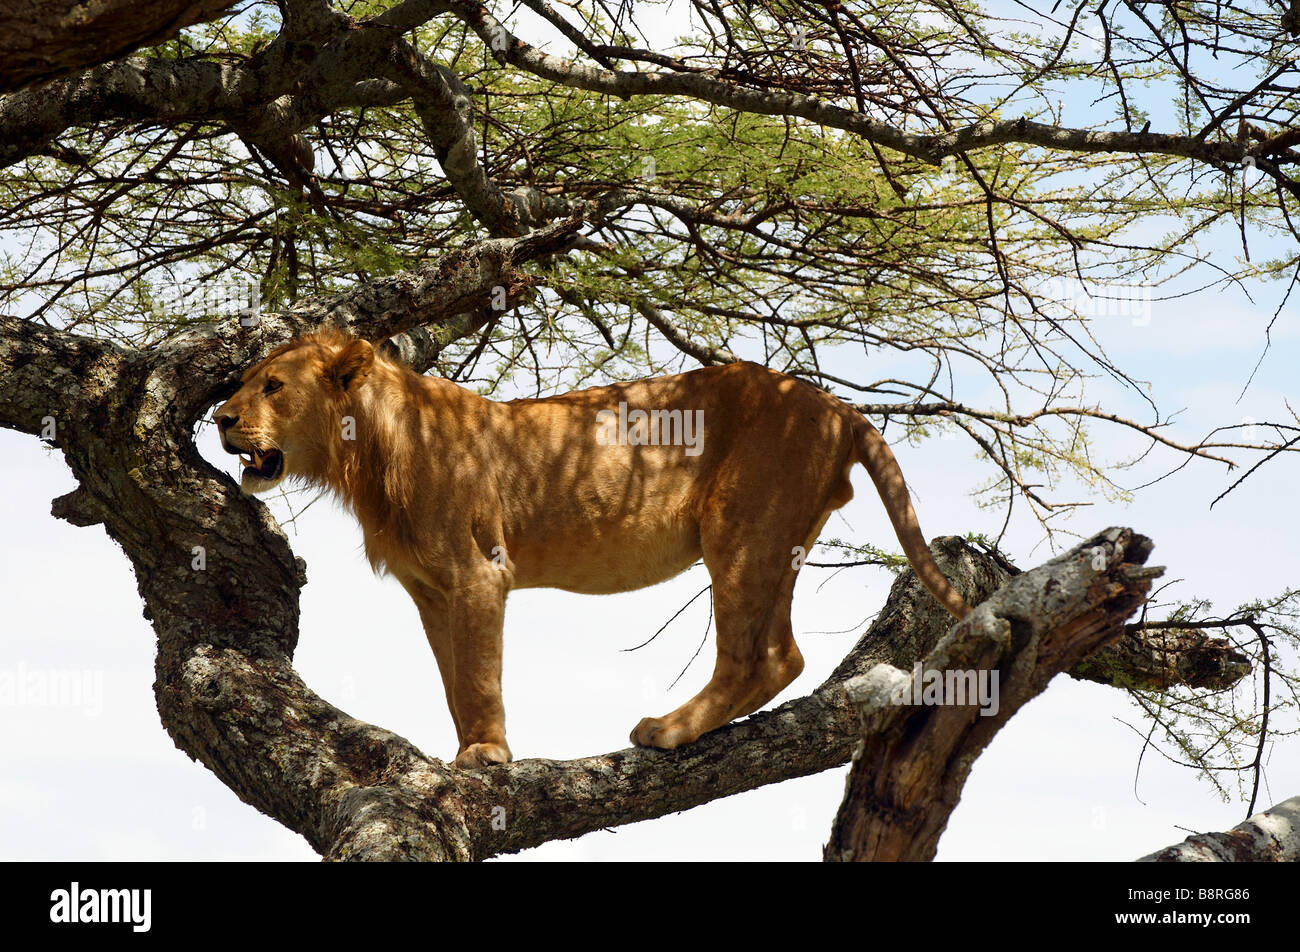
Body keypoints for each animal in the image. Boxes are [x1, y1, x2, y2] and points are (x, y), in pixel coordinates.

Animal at [214, 328, 971, 767]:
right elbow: (454, 678)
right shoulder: (430, 590)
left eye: (272, 386)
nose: (220, 418)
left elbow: (480, 674)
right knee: (783, 654)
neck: (367, 454)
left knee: (757, 656)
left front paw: (488, 753)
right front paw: (467, 745)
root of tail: (836, 405)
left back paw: (669, 729)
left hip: (739, 527)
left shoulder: (479, 571)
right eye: (242, 382)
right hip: (777, 537)